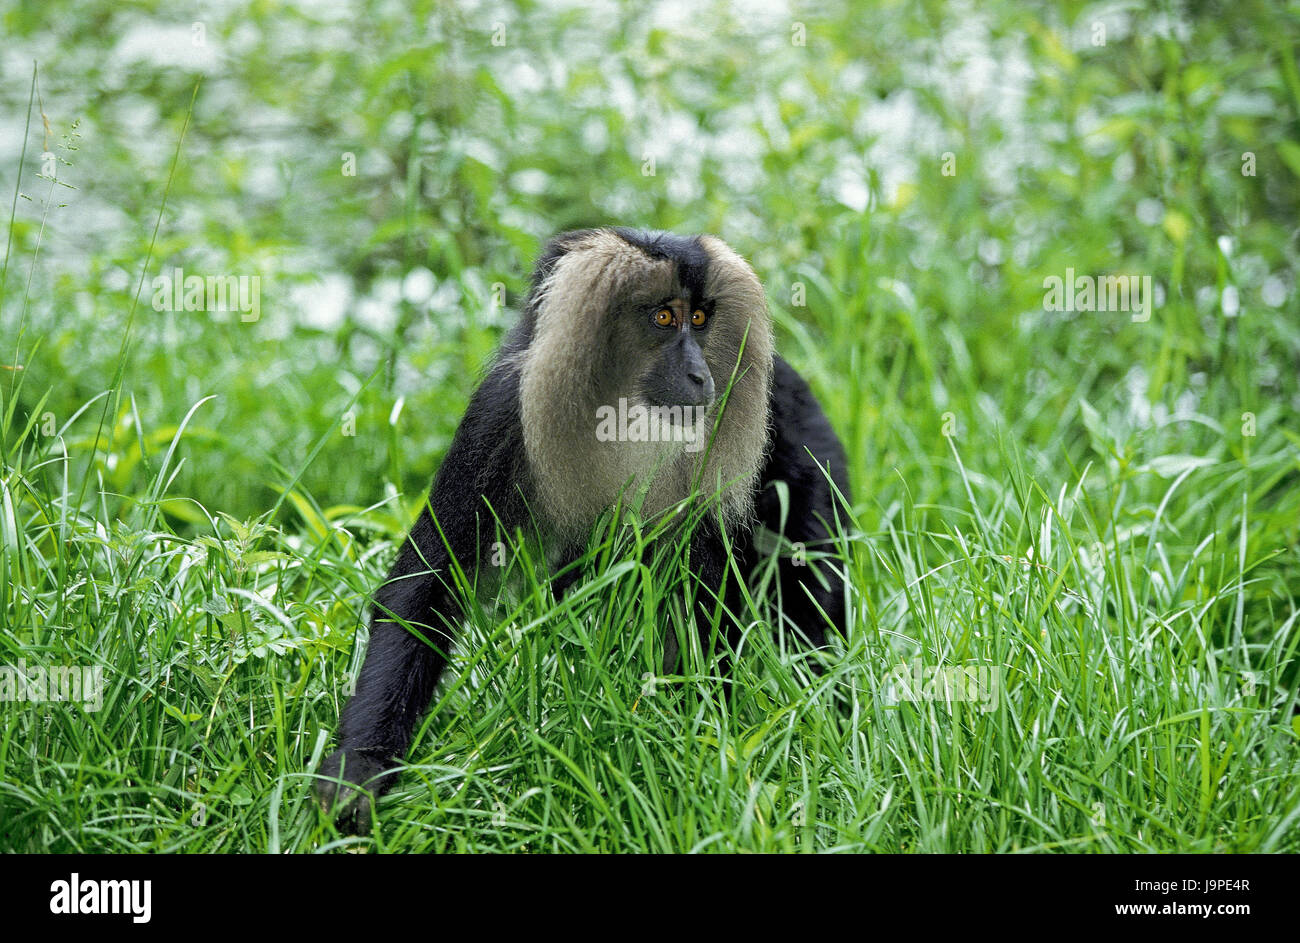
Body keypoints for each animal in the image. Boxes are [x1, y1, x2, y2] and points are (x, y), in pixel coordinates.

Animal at [318, 227, 851, 831]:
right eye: (665, 317)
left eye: (700, 319)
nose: (702, 376)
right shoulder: (501, 414)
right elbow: (424, 588)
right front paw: (358, 771)